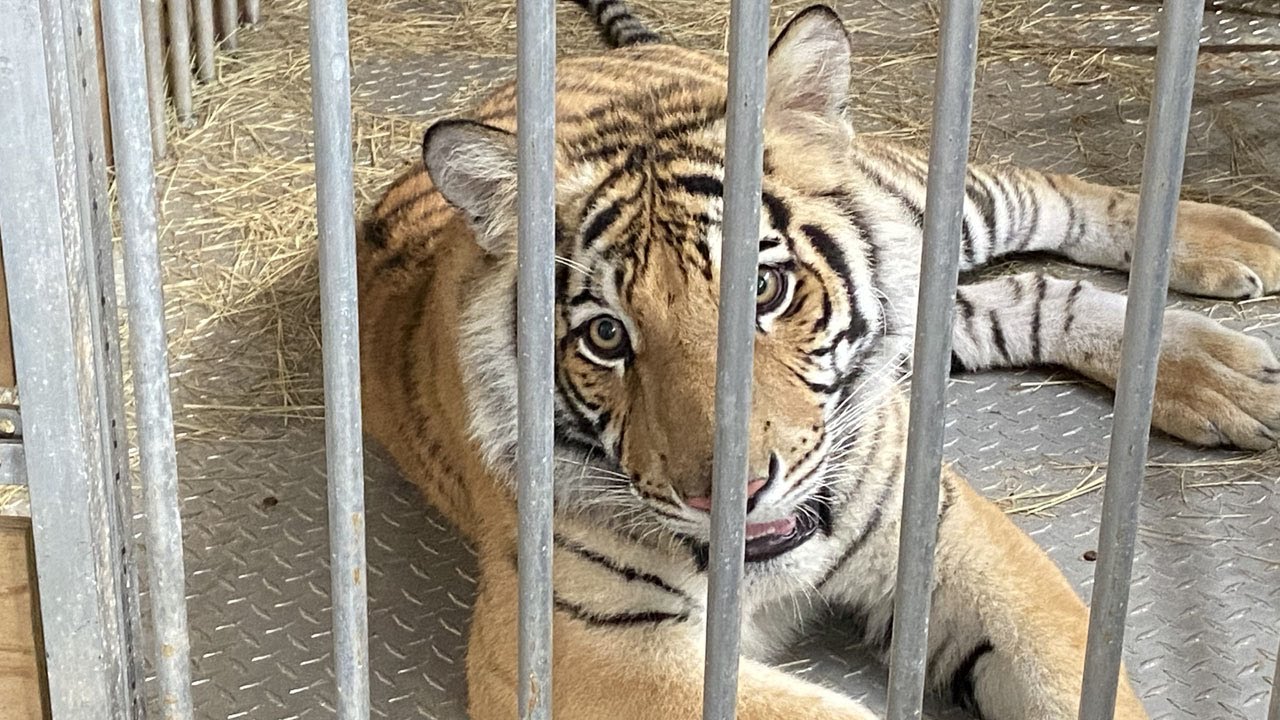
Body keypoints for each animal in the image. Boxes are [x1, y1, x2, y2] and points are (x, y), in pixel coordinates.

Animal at [355, 2, 1280, 718]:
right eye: (607, 336)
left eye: (765, 288)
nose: (726, 495)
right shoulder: (581, 652)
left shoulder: (945, 527)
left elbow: (1071, 673)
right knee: (1025, 296)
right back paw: (1224, 377)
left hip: (932, 202)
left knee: (1059, 194)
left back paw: (1227, 253)